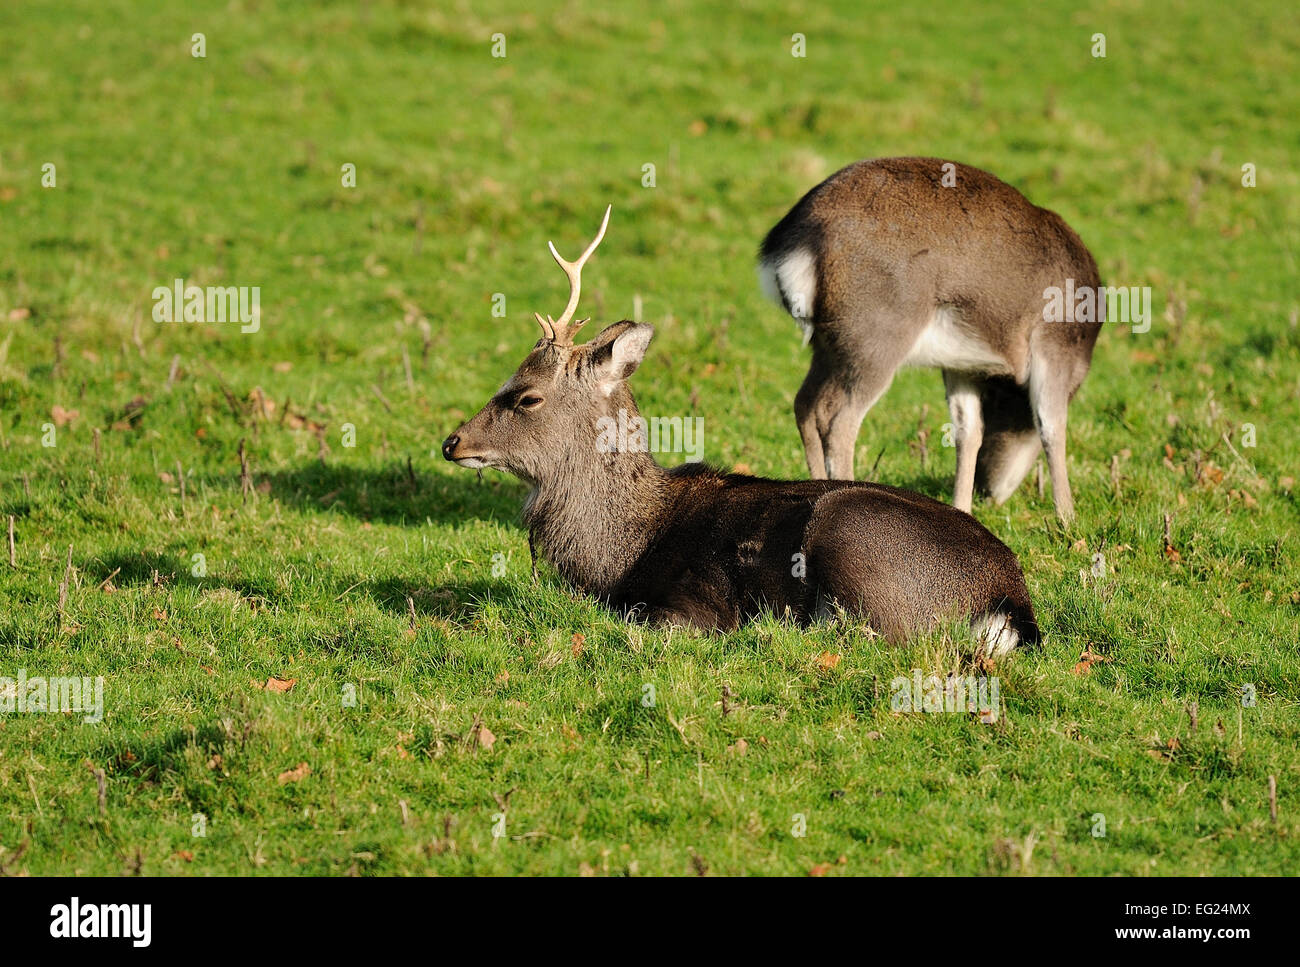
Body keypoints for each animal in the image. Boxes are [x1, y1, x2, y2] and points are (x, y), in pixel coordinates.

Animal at [441, 206, 1040, 655]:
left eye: (527, 395)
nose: (452, 442)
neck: (618, 552)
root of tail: (1010, 603)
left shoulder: (696, 602)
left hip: (855, 539)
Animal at [758, 157, 1103, 523]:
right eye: (1006, 411)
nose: (987, 490)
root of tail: (786, 245)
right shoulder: (1055, 343)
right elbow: (1052, 427)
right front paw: (1068, 518)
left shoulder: (962, 364)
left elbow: (968, 431)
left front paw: (962, 508)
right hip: (876, 334)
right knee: (839, 419)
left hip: (827, 344)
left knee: (804, 403)